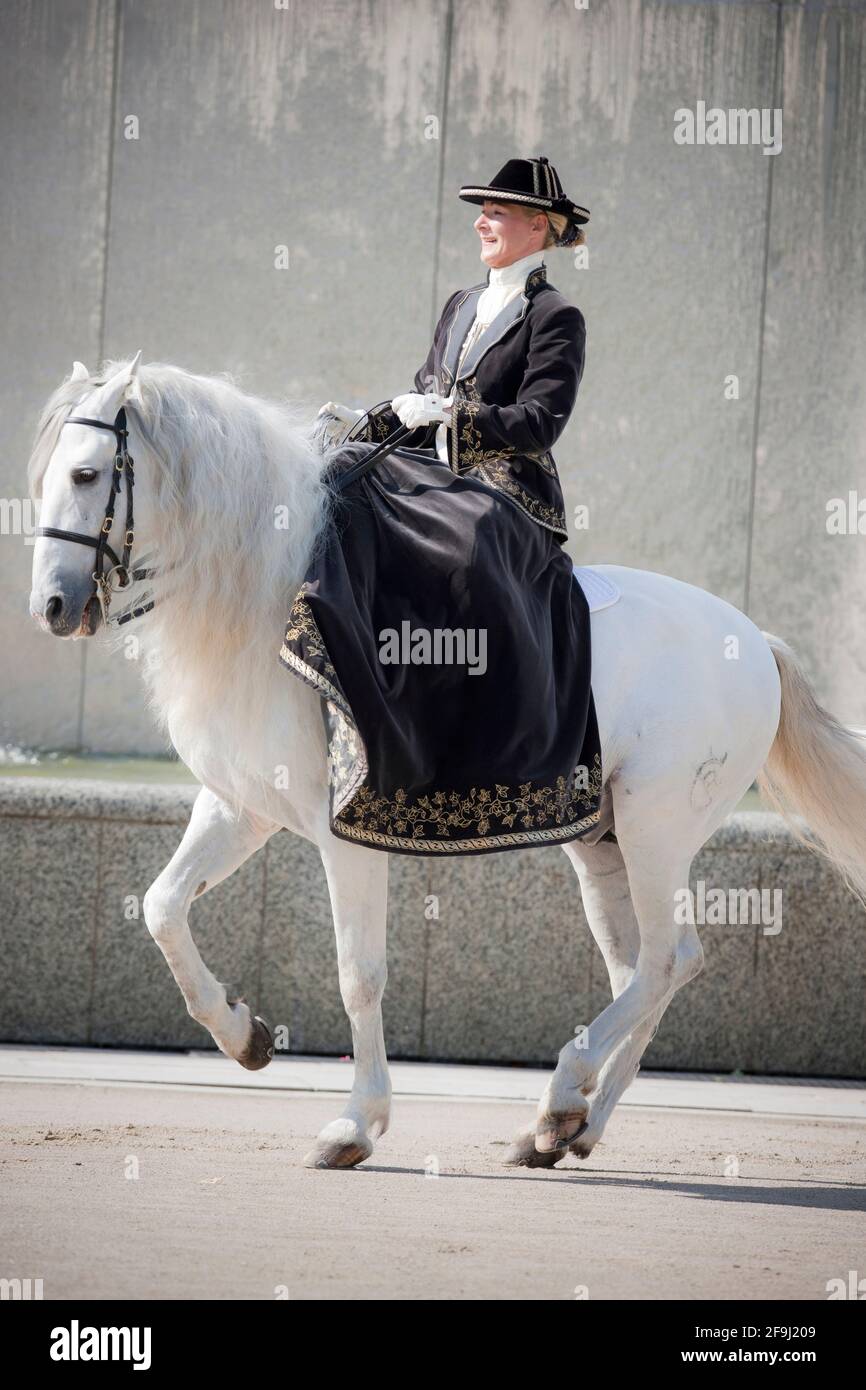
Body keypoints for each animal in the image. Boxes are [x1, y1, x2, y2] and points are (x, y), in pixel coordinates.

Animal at [27, 355, 866, 1169]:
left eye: (87, 475)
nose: (51, 609)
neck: (269, 592)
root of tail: (756, 640)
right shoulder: (242, 807)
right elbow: (163, 908)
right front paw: (245, 1035)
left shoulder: (344, 831)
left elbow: (358, 974)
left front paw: (356, 1124)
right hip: (605, 844)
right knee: (649, 969)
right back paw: (568, 1125)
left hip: (657, 828)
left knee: (663, 962)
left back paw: (563, 1093)